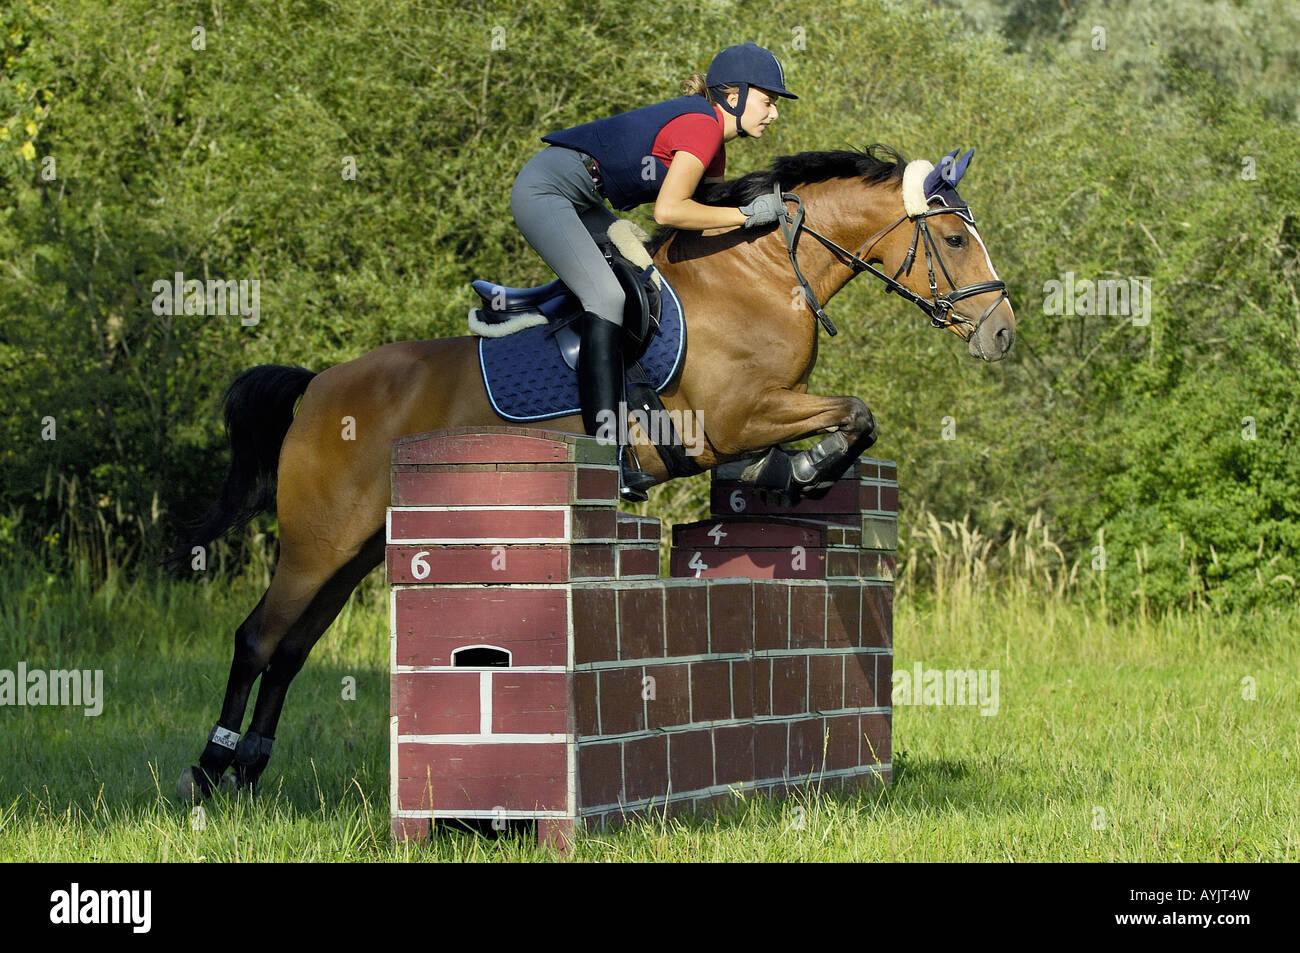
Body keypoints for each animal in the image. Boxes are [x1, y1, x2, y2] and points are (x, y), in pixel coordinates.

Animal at [173, 143, 1015, 802]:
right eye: (952, 236)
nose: (1002, 334)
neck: (758, 275)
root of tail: (318, 386)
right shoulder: (735, 416)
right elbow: (856, 410)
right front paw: (806, 464)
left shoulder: (754, 419)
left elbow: (848, 420)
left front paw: (791, 474)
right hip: (315, 544)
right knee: (258, 639)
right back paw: (210, 771)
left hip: (355, 552)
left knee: (291, 649)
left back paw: (249, 770)